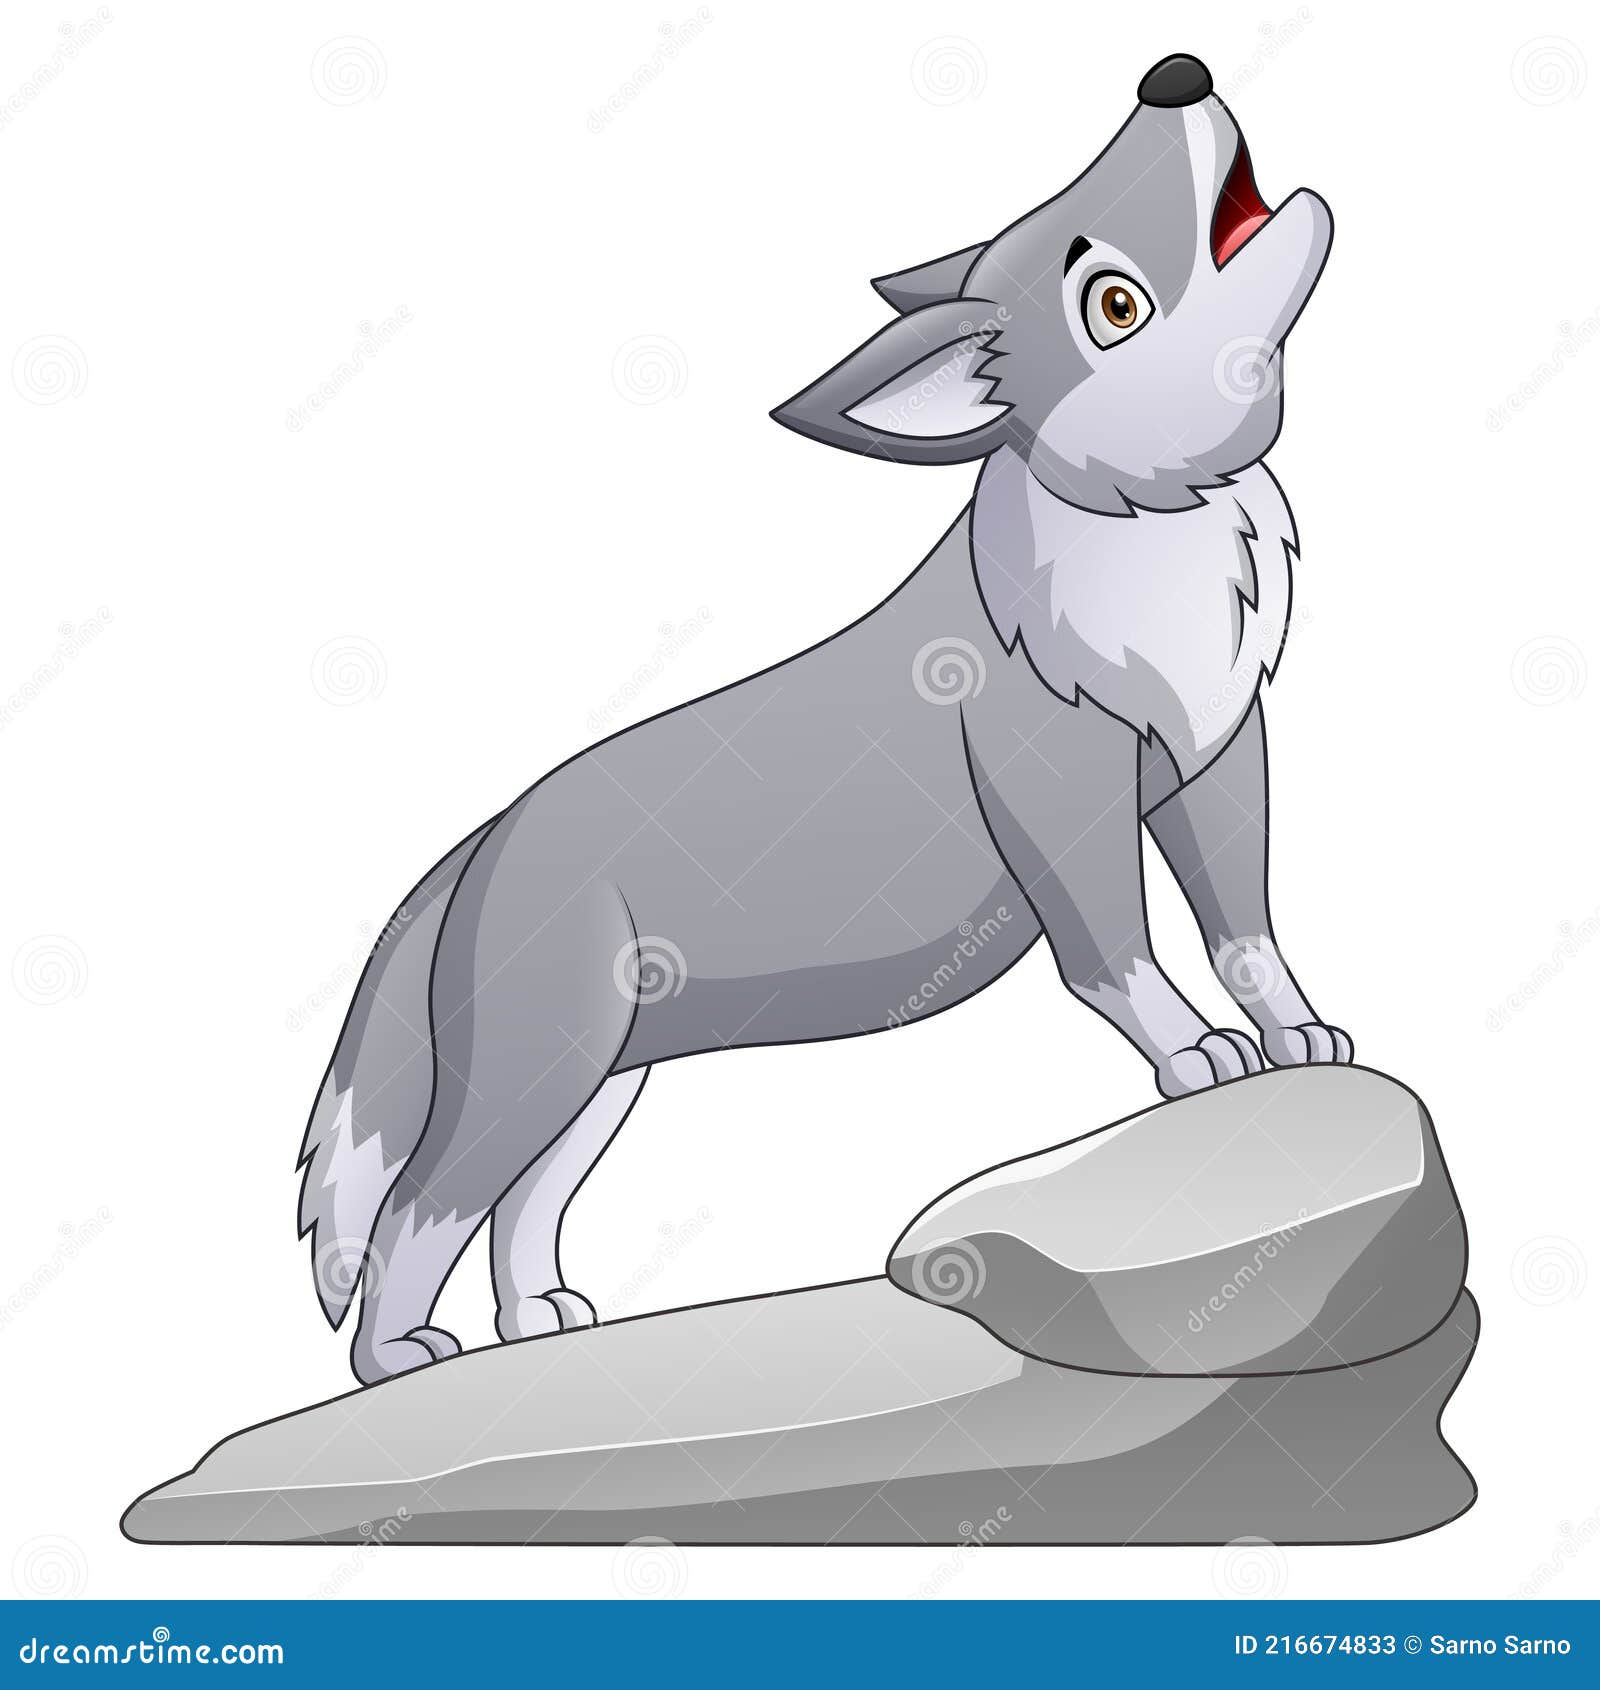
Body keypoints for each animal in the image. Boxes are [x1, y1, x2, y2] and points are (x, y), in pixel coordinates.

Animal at [298, 53, 1353, 1384]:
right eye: (1109, 301)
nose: (1174, 73)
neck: (1155, 551)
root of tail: (482, 840)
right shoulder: (1060, 795)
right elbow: (1119, 961)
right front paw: (1197, 1062)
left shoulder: (1213, 762)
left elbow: (1246, 938)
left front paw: (1301, 1037)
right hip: (537, 1074)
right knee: (417, 1204)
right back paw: (402, 1357)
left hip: (597, 1086)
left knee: (518, 1210)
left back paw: (542, 1324)